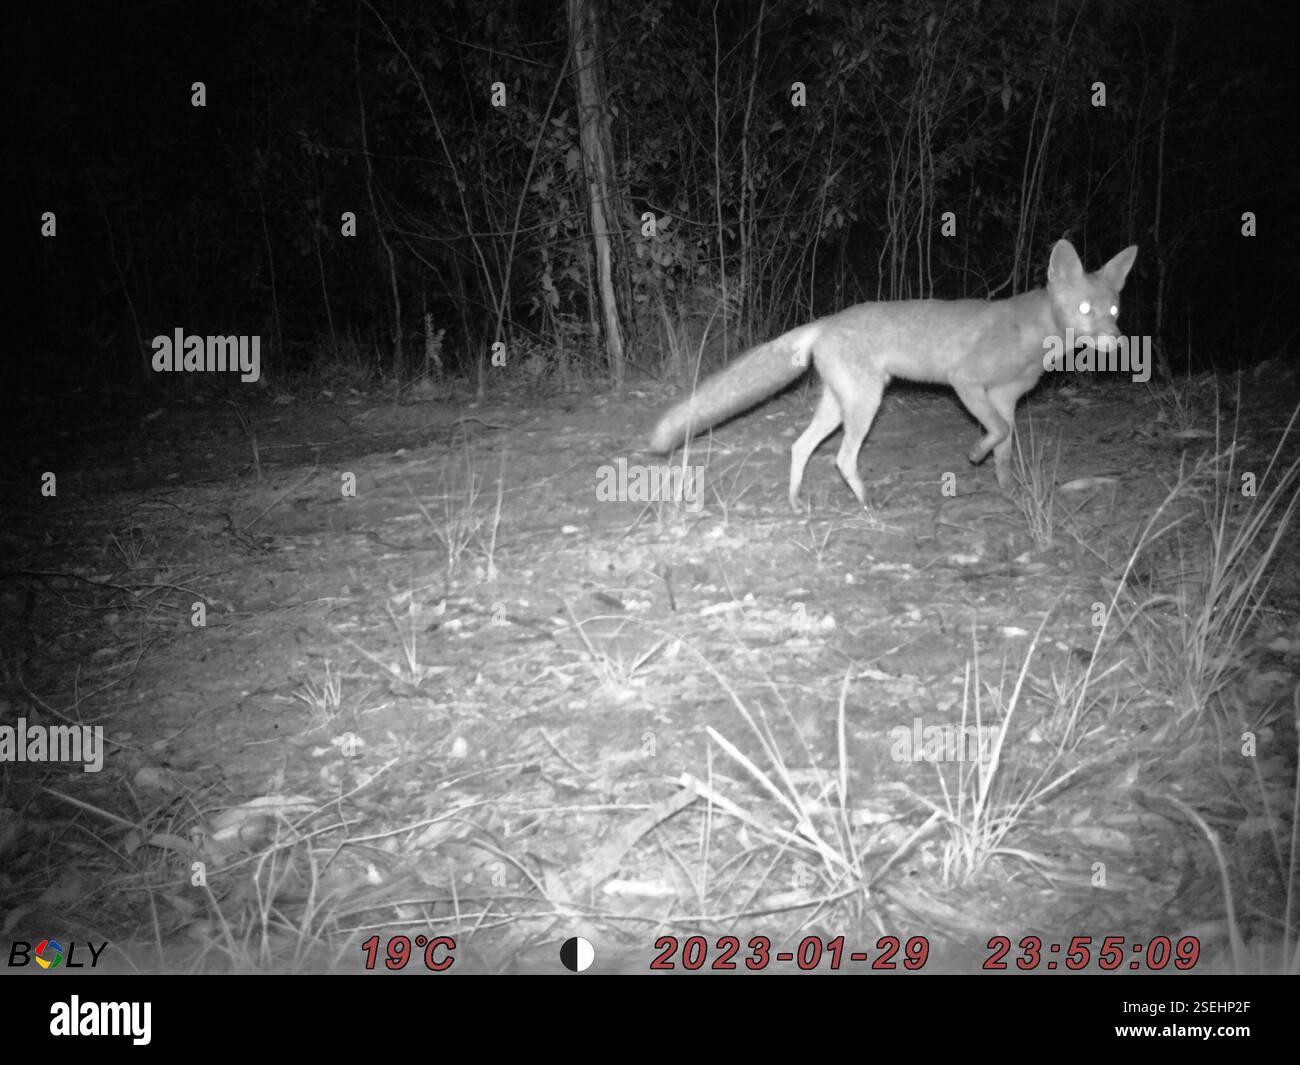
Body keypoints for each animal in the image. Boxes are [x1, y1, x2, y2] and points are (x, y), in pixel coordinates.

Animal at [649, 239, 1138, 508]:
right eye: (1084, 310)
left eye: (1114, 311)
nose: (1116, 342)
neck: (1031, 335)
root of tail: (826, 321)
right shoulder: (966, 383)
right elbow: (996, 434)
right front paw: (974, 455)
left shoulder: (1006, 398)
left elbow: (1005, 447)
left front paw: (1005, 490)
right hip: (865, 405)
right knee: (842, 458)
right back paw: (867, 503)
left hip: (838, 406)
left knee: (800, 447)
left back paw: (795, 501)